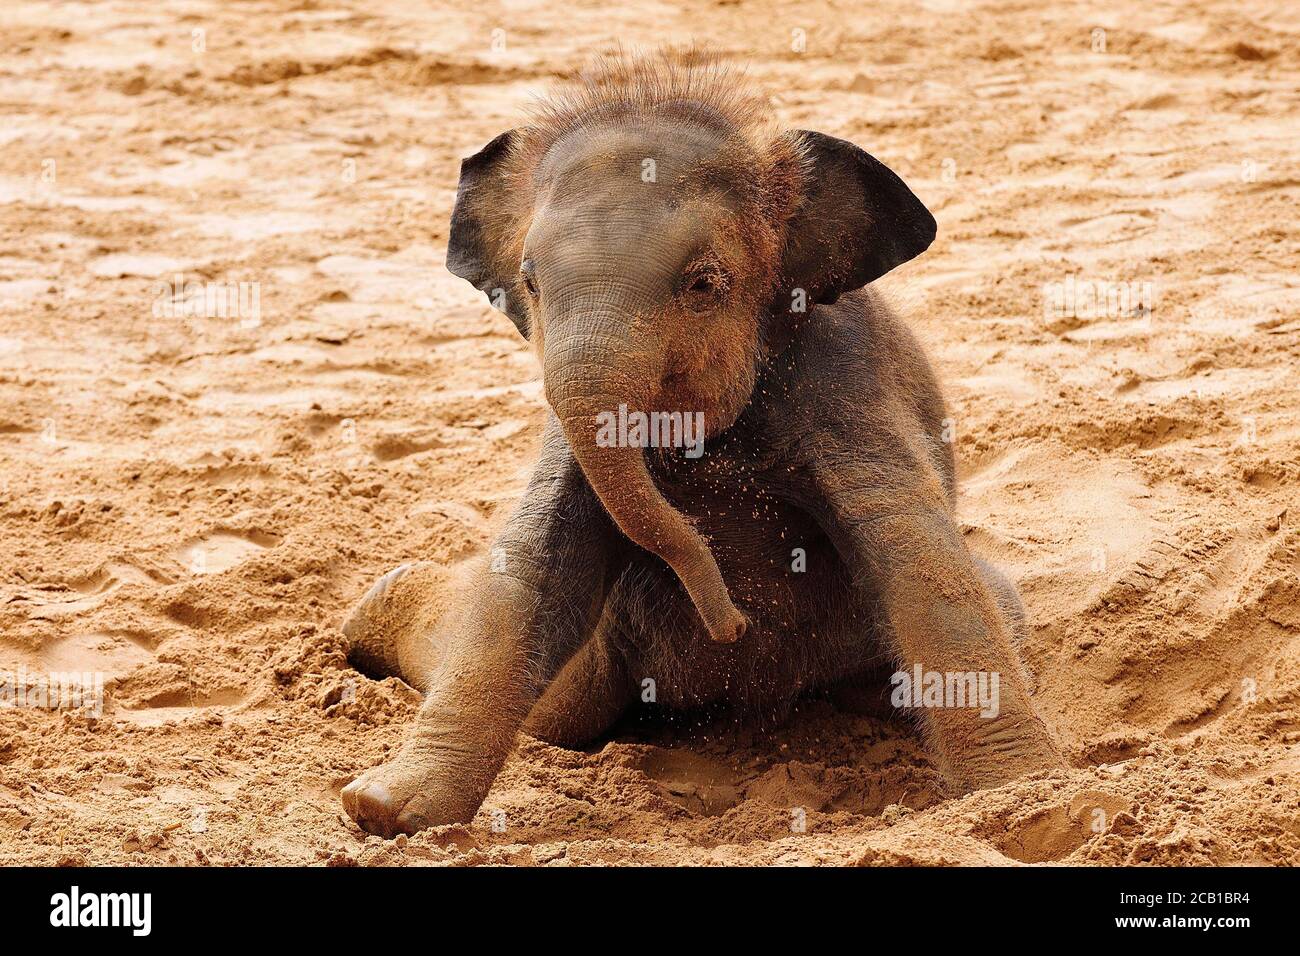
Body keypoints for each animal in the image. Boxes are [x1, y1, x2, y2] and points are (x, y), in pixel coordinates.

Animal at [339, 50, 1064, 838]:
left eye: (704, 283)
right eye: (528, 283)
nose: (731, 623)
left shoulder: (849, 384)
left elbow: (917, 554)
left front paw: (1027, 792)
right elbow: (532, 566)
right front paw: (382, 811)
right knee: (561, 710)